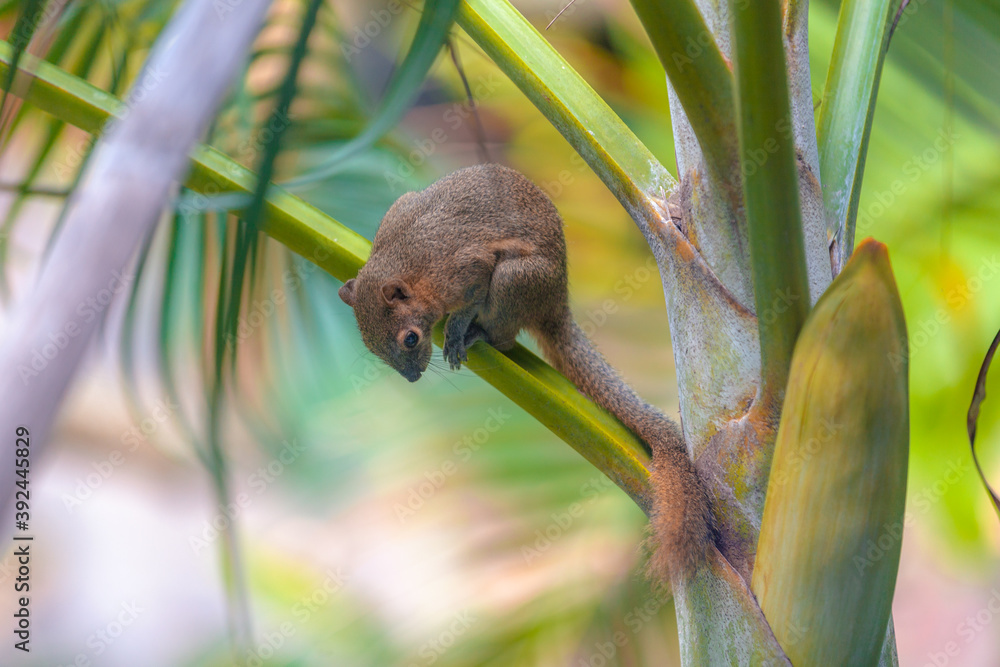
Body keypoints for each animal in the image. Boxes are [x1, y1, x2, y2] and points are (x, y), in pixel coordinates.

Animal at [339, 163, 714, 579]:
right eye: (372, 347)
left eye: (410, 339)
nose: (412, 378)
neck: (405, 261)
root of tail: (556, 303)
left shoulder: (464, 269)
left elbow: (470, 295)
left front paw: (454, 331)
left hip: (517, 279)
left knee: (503, 333)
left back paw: (480, 334)